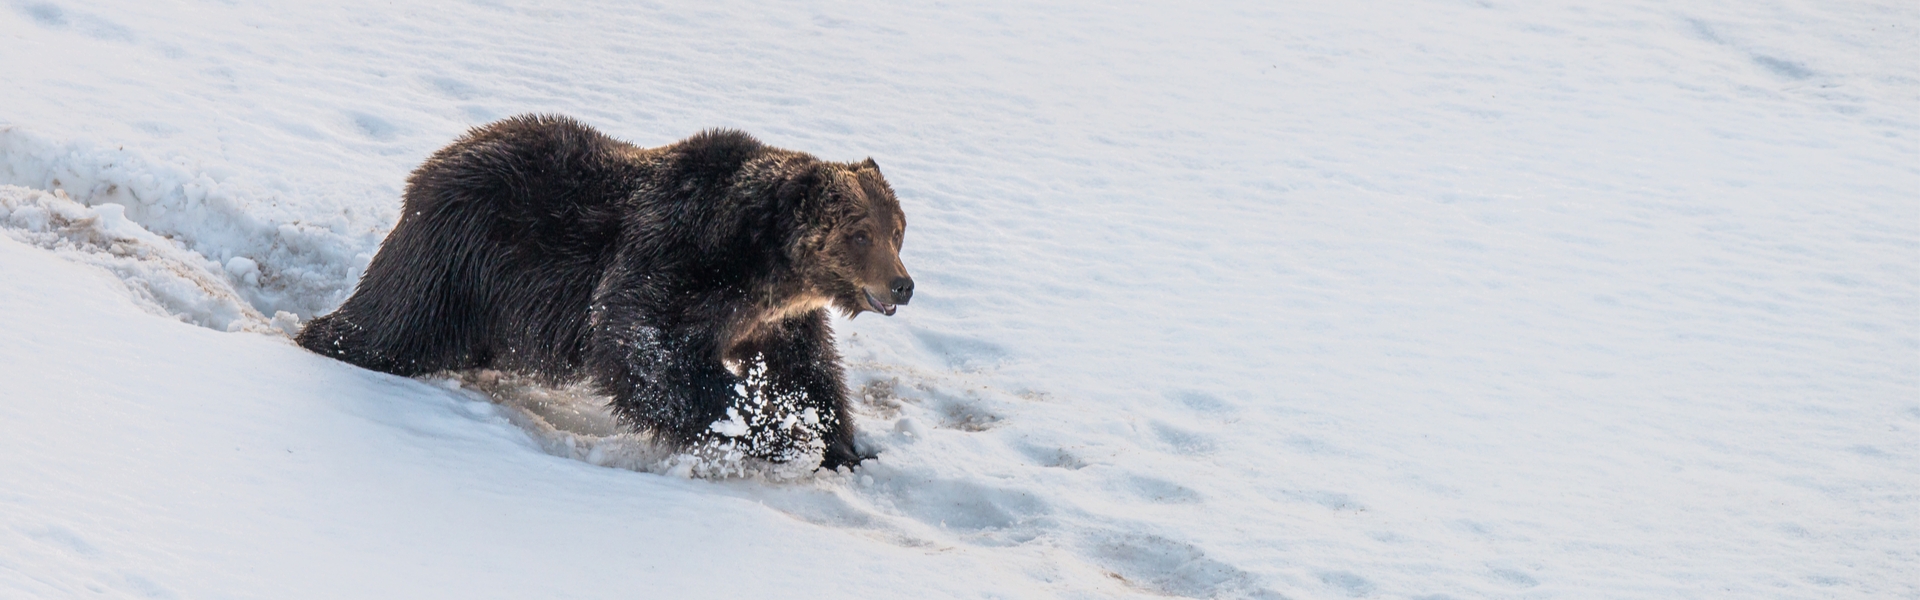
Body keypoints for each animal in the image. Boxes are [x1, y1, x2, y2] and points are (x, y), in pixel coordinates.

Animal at [296, 114, 913, 470]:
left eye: (898, 229)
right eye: (861, 234)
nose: (903, 285)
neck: (760, 265)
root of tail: (427, 168)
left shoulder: (773, 317)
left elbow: (810, 370)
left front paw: (839, 444)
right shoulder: (672, 254)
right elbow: (639, 343)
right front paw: (761, 425)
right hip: (459, 256)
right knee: (392, 322)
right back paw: (322, 338)